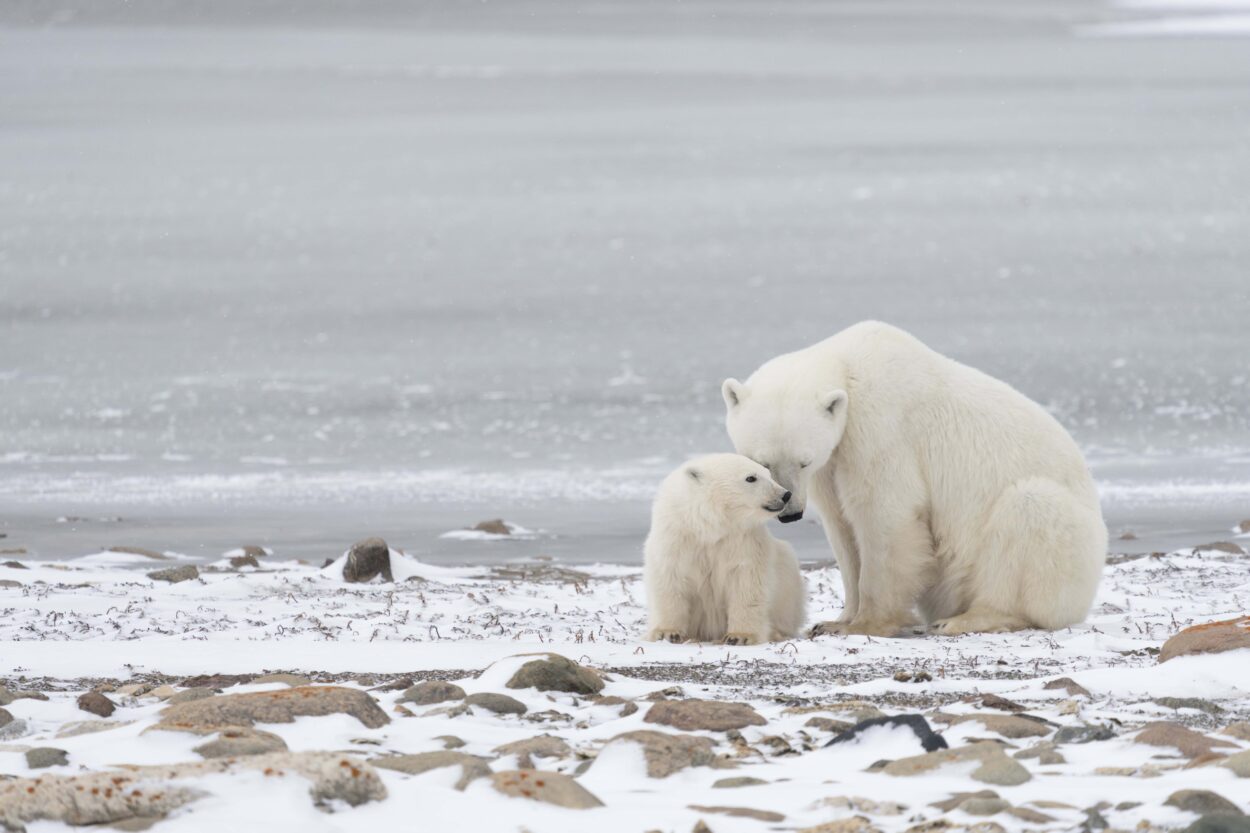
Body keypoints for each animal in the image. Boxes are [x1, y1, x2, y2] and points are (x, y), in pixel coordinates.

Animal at [644, 453, 806, 645]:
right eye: (751, 478)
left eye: (768, 474)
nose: (785, 494)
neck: (709, 525)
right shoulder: (676, 537)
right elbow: (670, 580)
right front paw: (666, 632)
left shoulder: (742, 540)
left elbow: (747, 581)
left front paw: (740, 636)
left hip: (787, 578)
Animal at [721, 321, 1107, 637]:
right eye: (761, 462)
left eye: (803, 461)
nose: (790, 511)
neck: (847, 366)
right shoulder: (833, 463)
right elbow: (843, 528)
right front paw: (835, 620)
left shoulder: (879, 430)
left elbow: (885, 517)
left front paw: (866, 624)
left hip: (1066, 549)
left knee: (1028, 511)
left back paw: (964, 619)